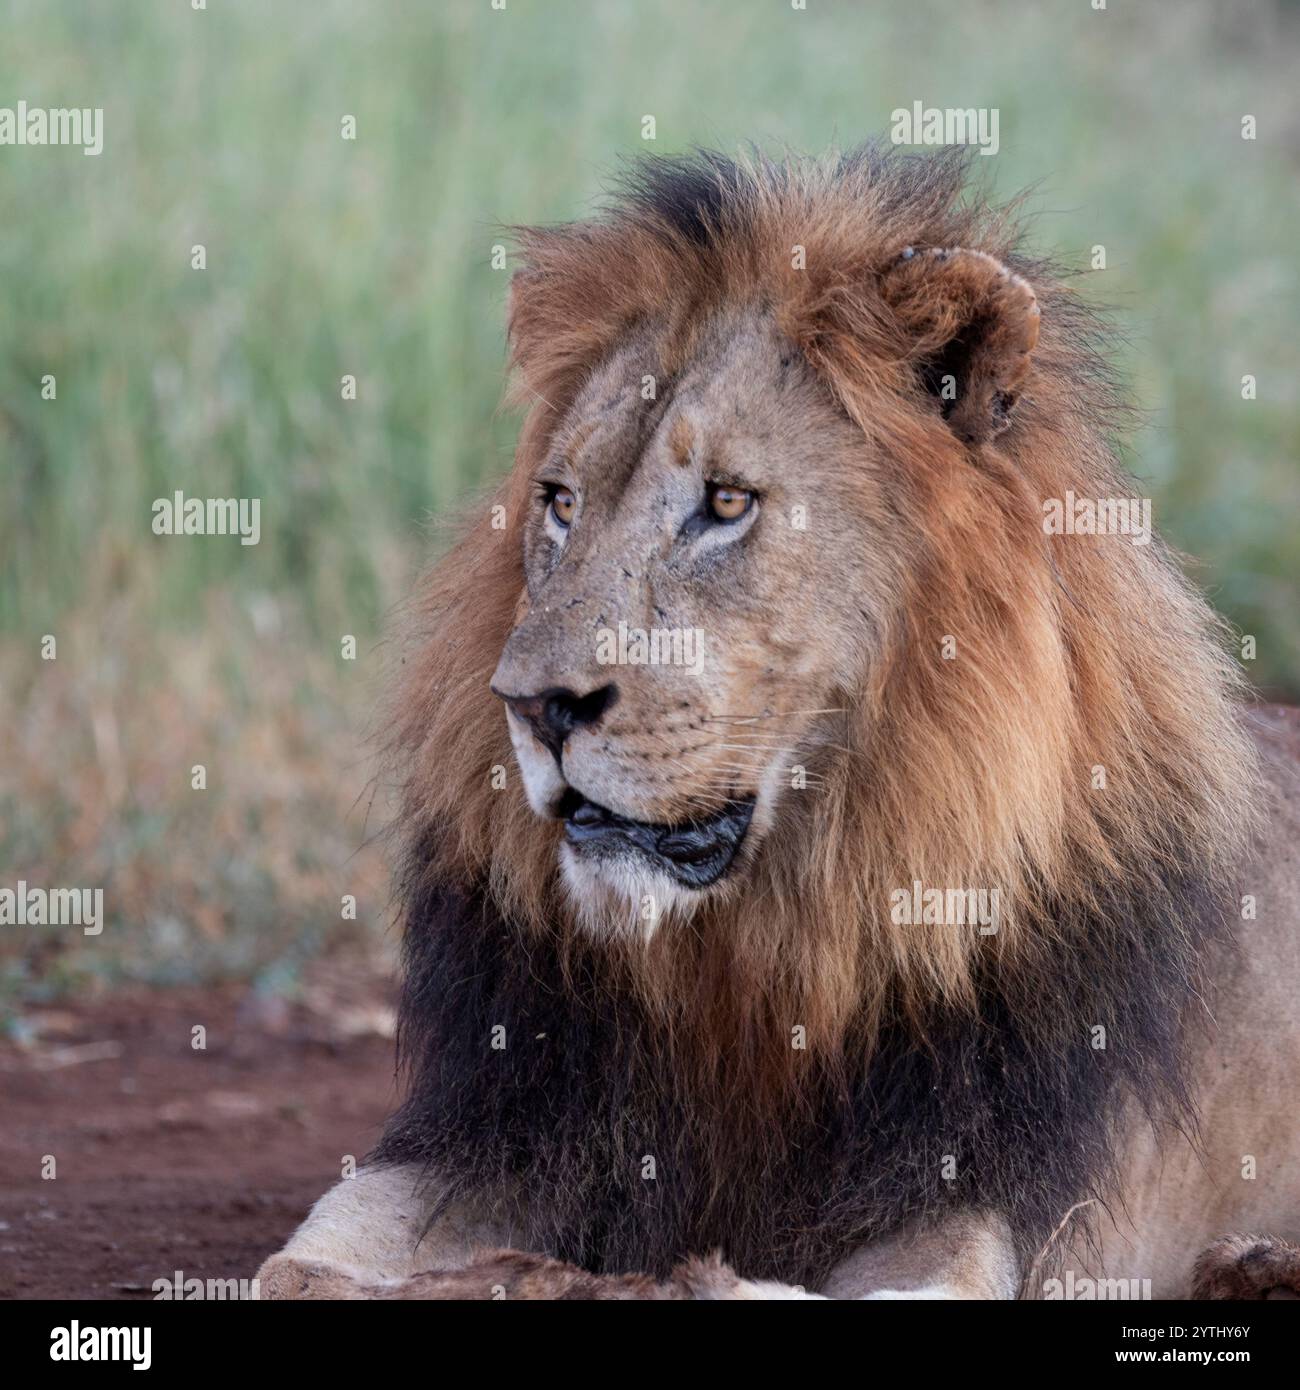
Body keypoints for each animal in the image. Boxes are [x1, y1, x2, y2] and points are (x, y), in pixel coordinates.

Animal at [258, 146, 1300, 1300]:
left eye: (725, 503)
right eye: (561, 502)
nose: (531, 705)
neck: (767, 941)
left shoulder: (986, 1203)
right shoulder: (499, 1132)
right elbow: (301, 1265)